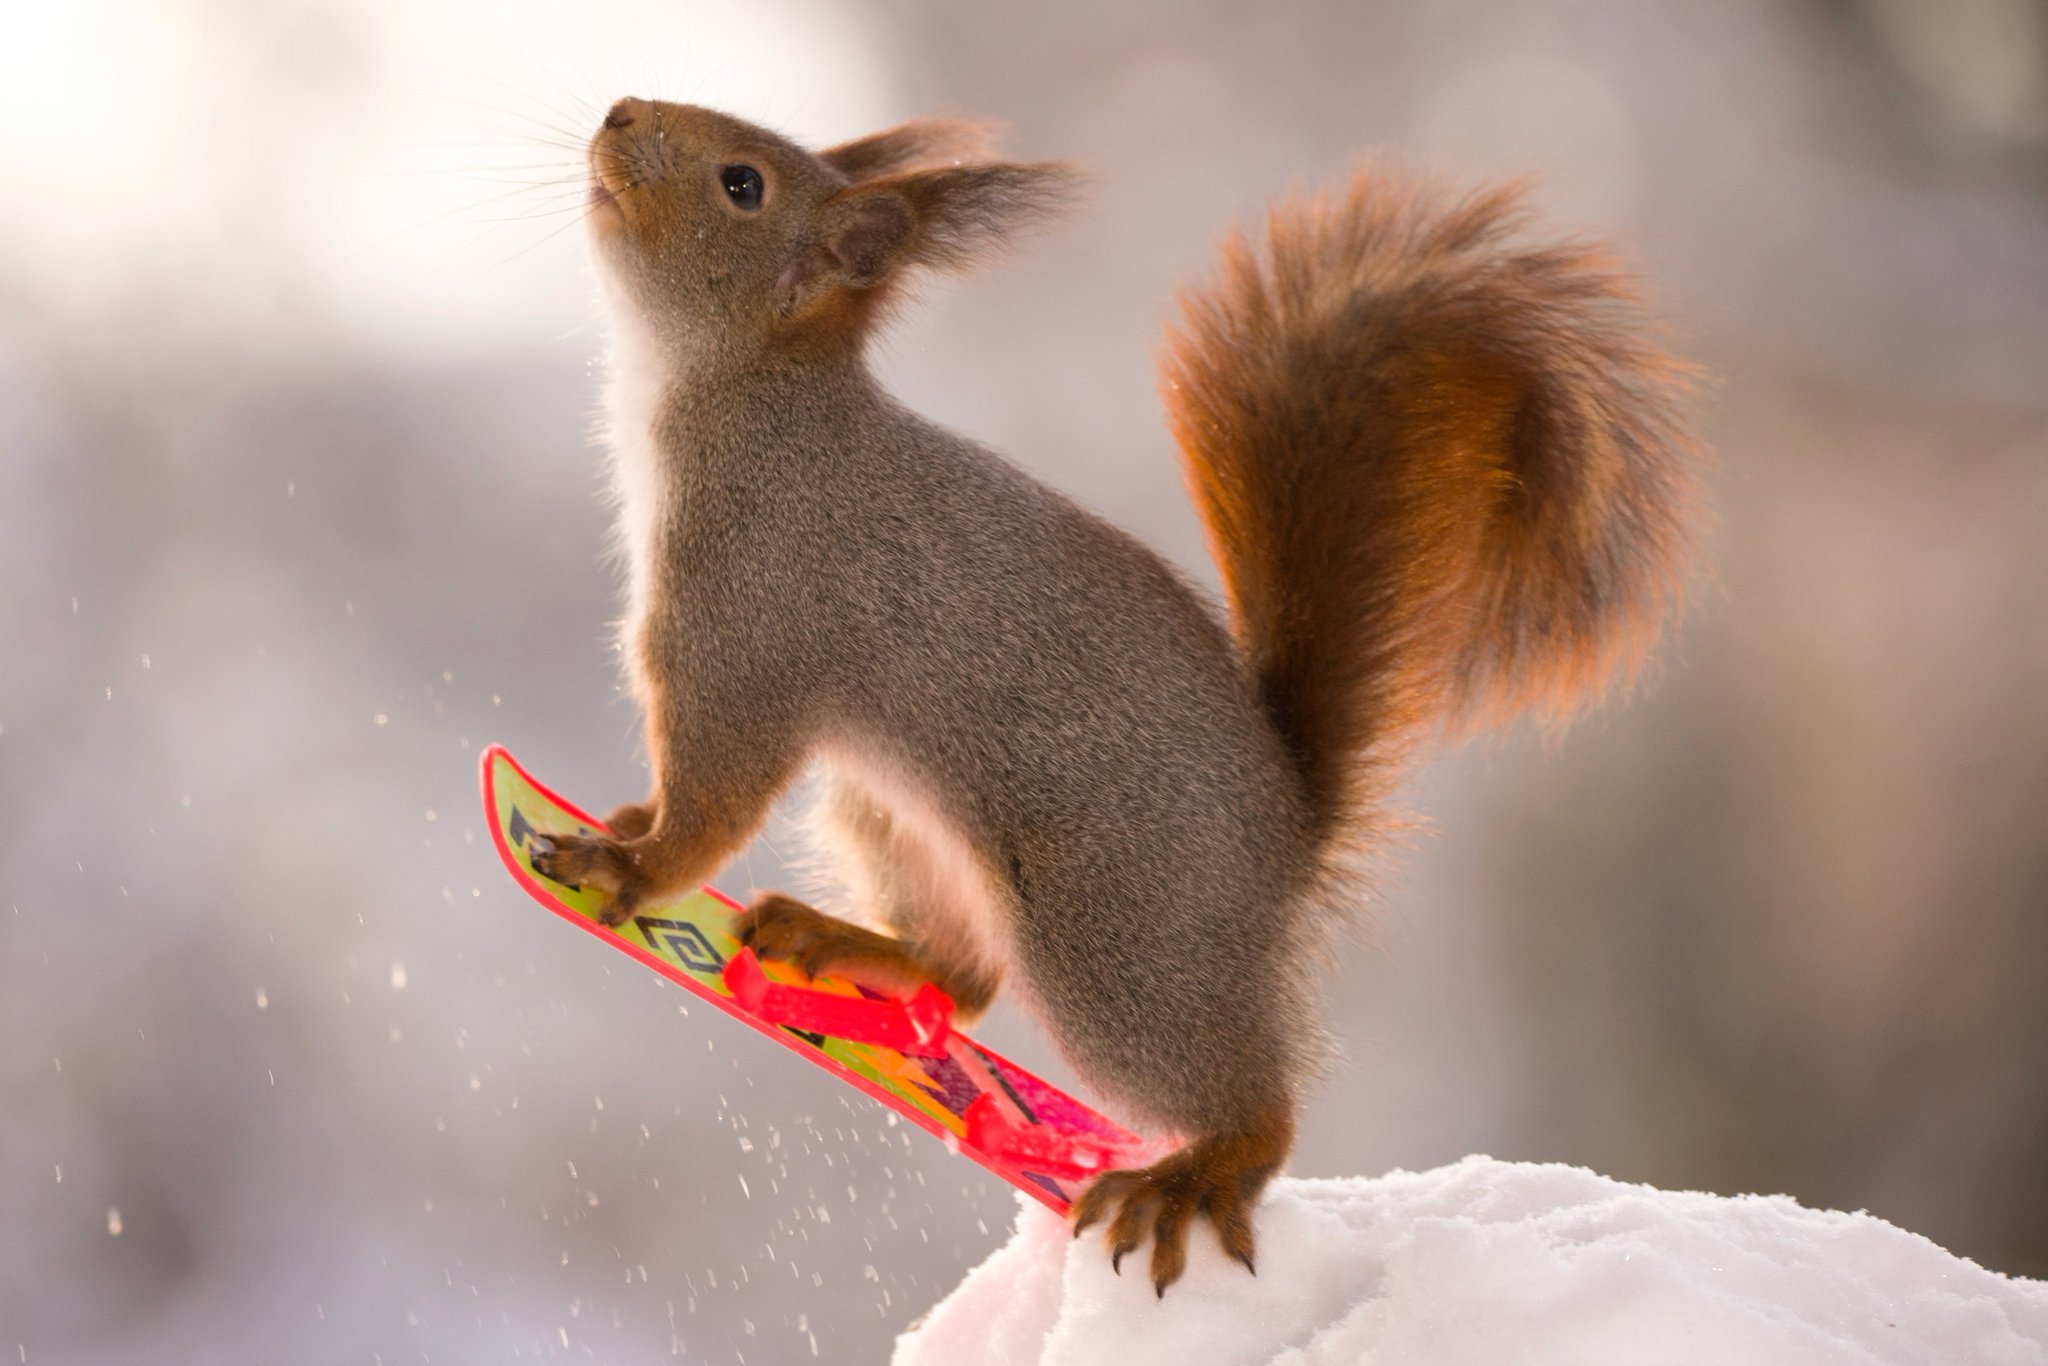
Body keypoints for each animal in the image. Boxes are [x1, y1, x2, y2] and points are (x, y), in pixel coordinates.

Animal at [528, 97, 1706, 1295]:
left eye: (740, 186)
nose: (619, 111)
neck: (729, 397)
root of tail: (1288, 837)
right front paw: (626, 823)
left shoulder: (750, 623)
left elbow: (716, 795)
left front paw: (629, 866)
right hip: (888, 818)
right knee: (963, 979)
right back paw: (846, 949)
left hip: (1114, 935)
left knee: (1234, 1096)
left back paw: (1192, 1175)